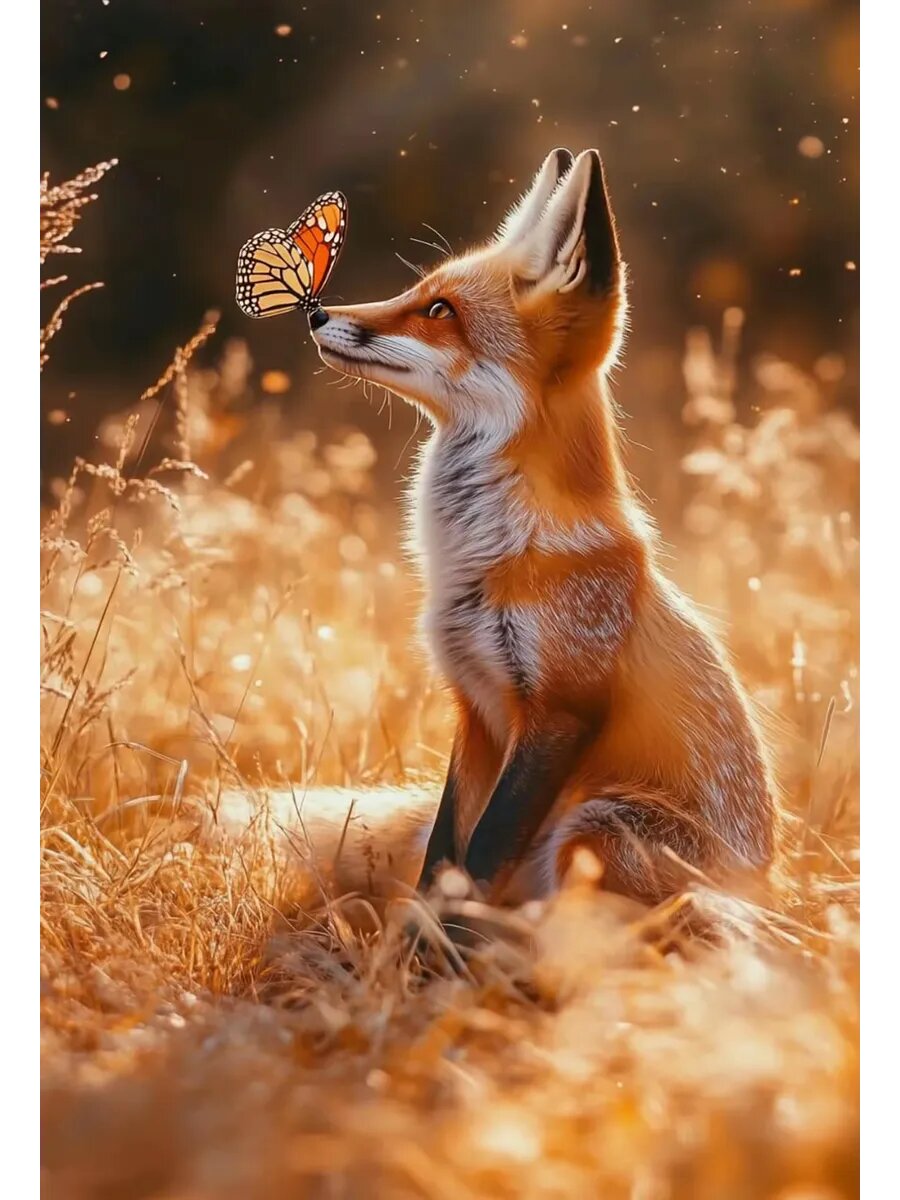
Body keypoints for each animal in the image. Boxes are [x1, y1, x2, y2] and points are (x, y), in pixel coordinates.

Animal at [308, 147, 777, 908]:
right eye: (421, 292)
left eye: (439, 311)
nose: (318, 312)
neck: (489, 557)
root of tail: (772, 894)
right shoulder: (474, 713)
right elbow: (443, 859)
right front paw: (418, 940)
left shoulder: (559, 714)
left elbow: (480, 859)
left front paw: (445, 943)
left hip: (600, 823)